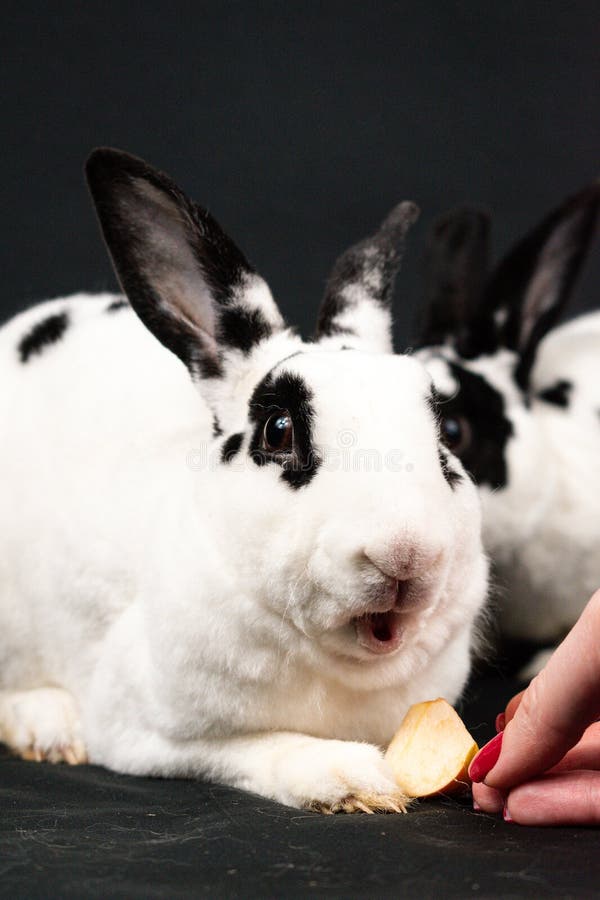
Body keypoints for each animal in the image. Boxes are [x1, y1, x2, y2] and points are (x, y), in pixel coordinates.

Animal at [0, 149, 488, 813]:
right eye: (279, 431)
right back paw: (47, 727)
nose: (406, 551)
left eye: (441, 431)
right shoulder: (149, 733)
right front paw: (354, 780)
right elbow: (263, 747)